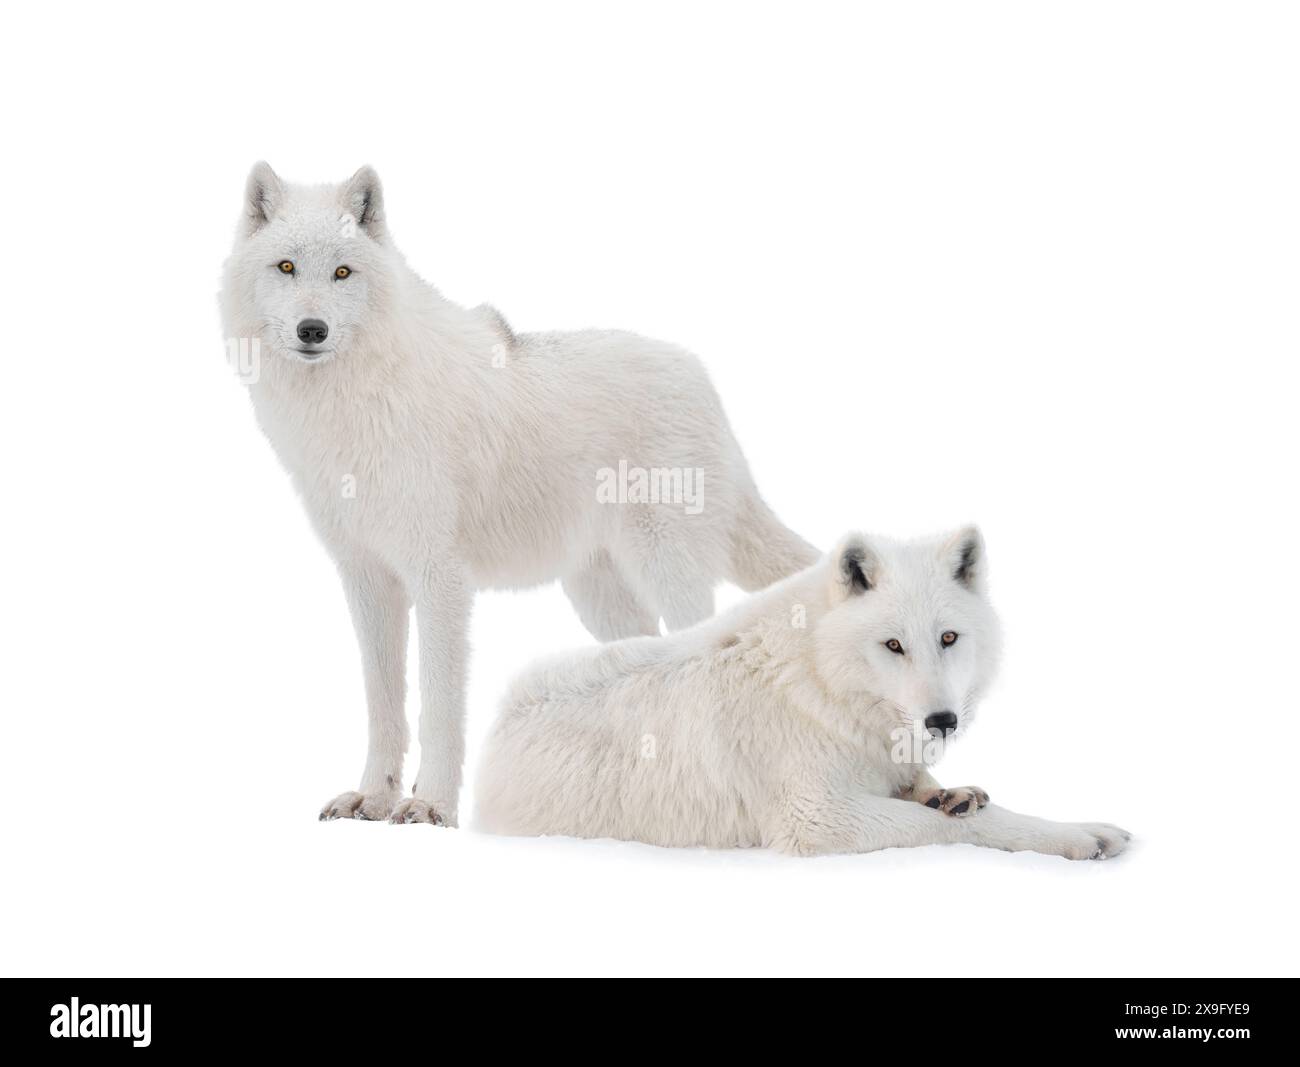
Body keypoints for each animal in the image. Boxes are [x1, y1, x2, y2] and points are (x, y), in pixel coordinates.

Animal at [219, 163, 817, 828]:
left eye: (343, 272)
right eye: (286, 267)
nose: (312, 330)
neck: (352, 403)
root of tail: (703, 380)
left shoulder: (440, 578)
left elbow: (438, 703)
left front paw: (431, 806)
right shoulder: (367, 577)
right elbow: (383, 704)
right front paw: (372, 798)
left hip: (669, 570)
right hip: (598, 596)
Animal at [476, 527, 1131, 859]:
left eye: (948, 637)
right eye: (894, 645)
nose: (942, 720)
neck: (817, 681)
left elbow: (944, 798)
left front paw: (954, 793)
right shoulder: (817, 819)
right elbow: (965, 828)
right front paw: (1077, 838)